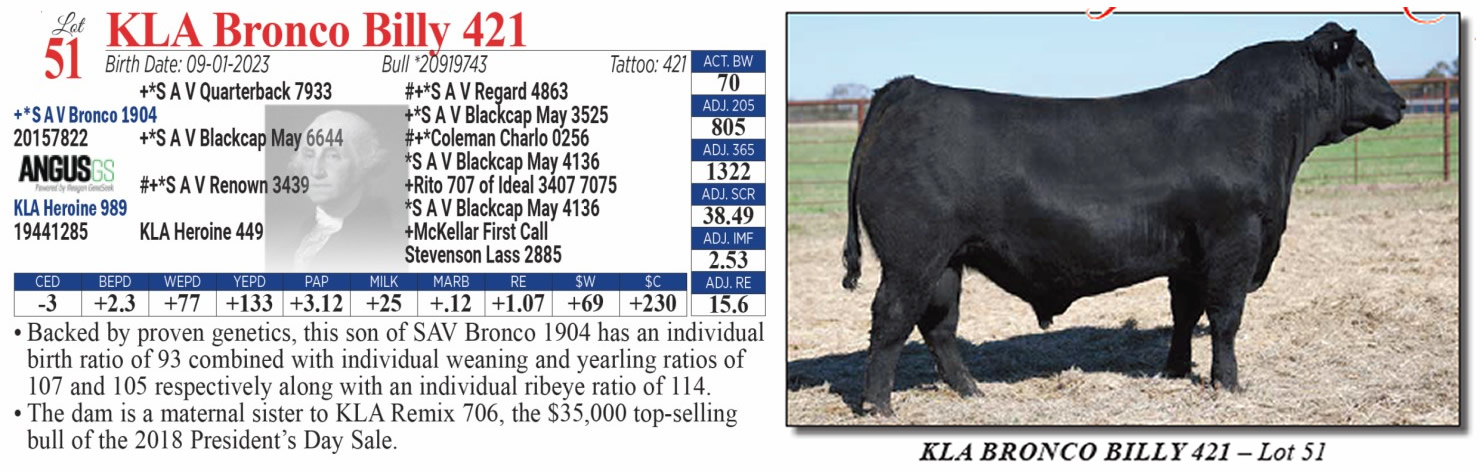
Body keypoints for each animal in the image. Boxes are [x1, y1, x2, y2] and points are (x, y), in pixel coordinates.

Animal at [840, 22, 1405, 416]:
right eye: (1363, 62)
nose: (1400, 102)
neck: (1260, 126)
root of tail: (910, 88)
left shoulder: (1189, 255)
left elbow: (1185, 313)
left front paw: (1176, 370)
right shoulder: (1234, 241)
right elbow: (1226, 317)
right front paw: (1227, 383)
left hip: (948, 261)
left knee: (939, 324)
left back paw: (971, 391)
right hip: (913, 257)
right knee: (891, 318)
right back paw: (878, 405)